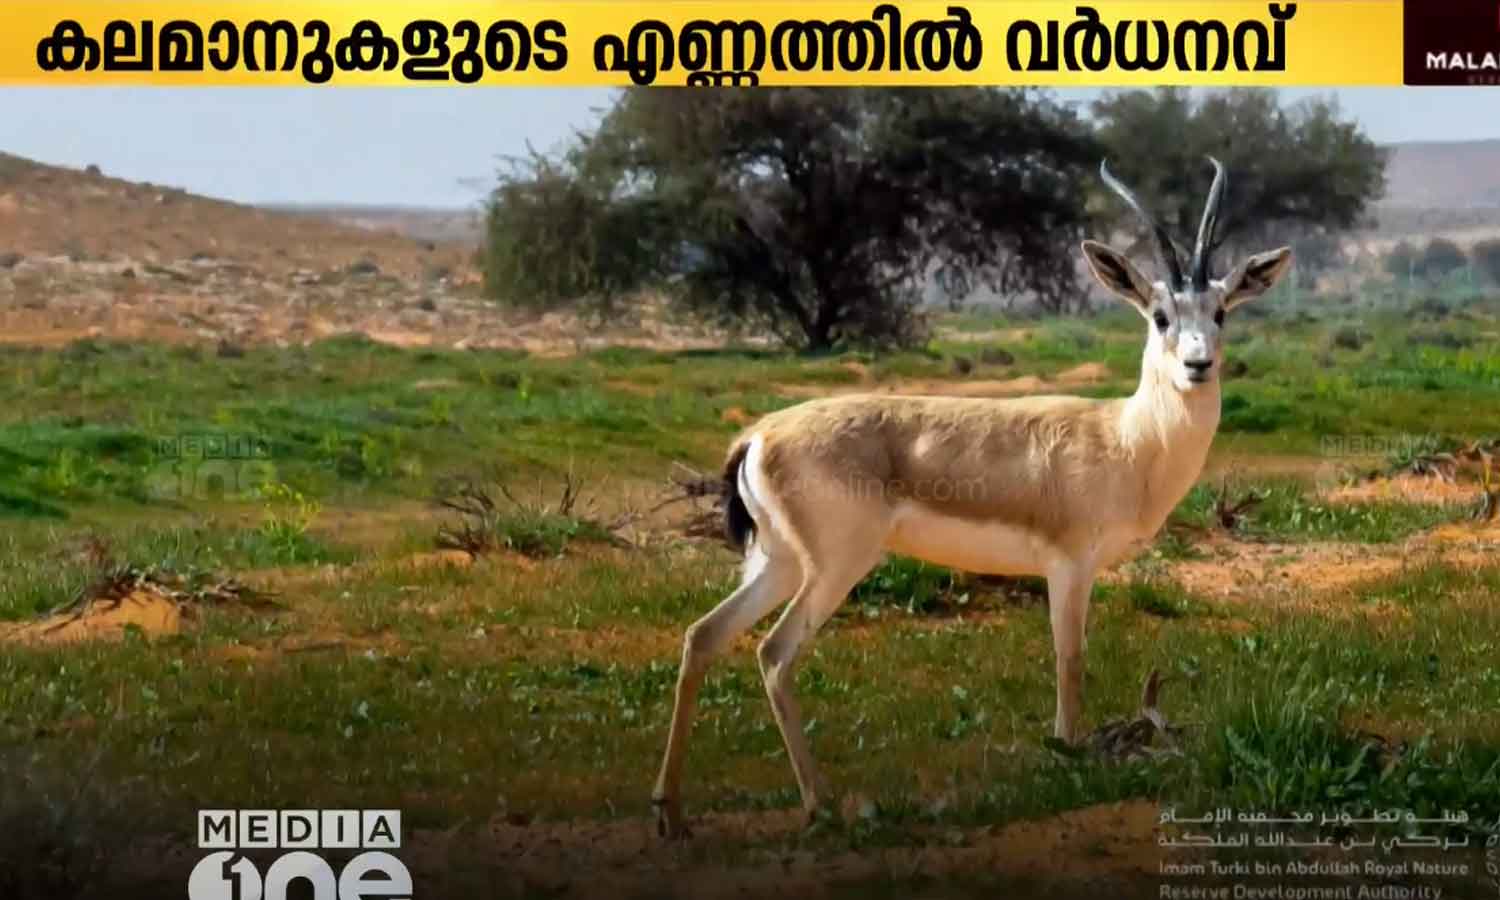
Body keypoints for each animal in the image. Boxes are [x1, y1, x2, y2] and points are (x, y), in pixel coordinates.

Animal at [651, 158, 1294, 839]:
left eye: (1221, 312)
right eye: (1160, 315)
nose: (1198, 365)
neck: (1126, 438)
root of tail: (757, 434)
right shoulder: (1069, 566)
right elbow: (1070, 658)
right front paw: (1068, 760)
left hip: (779, 563)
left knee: (703, 635)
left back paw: (670, 812)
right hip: (835, 567)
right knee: (774, 652)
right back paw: (820, 804)